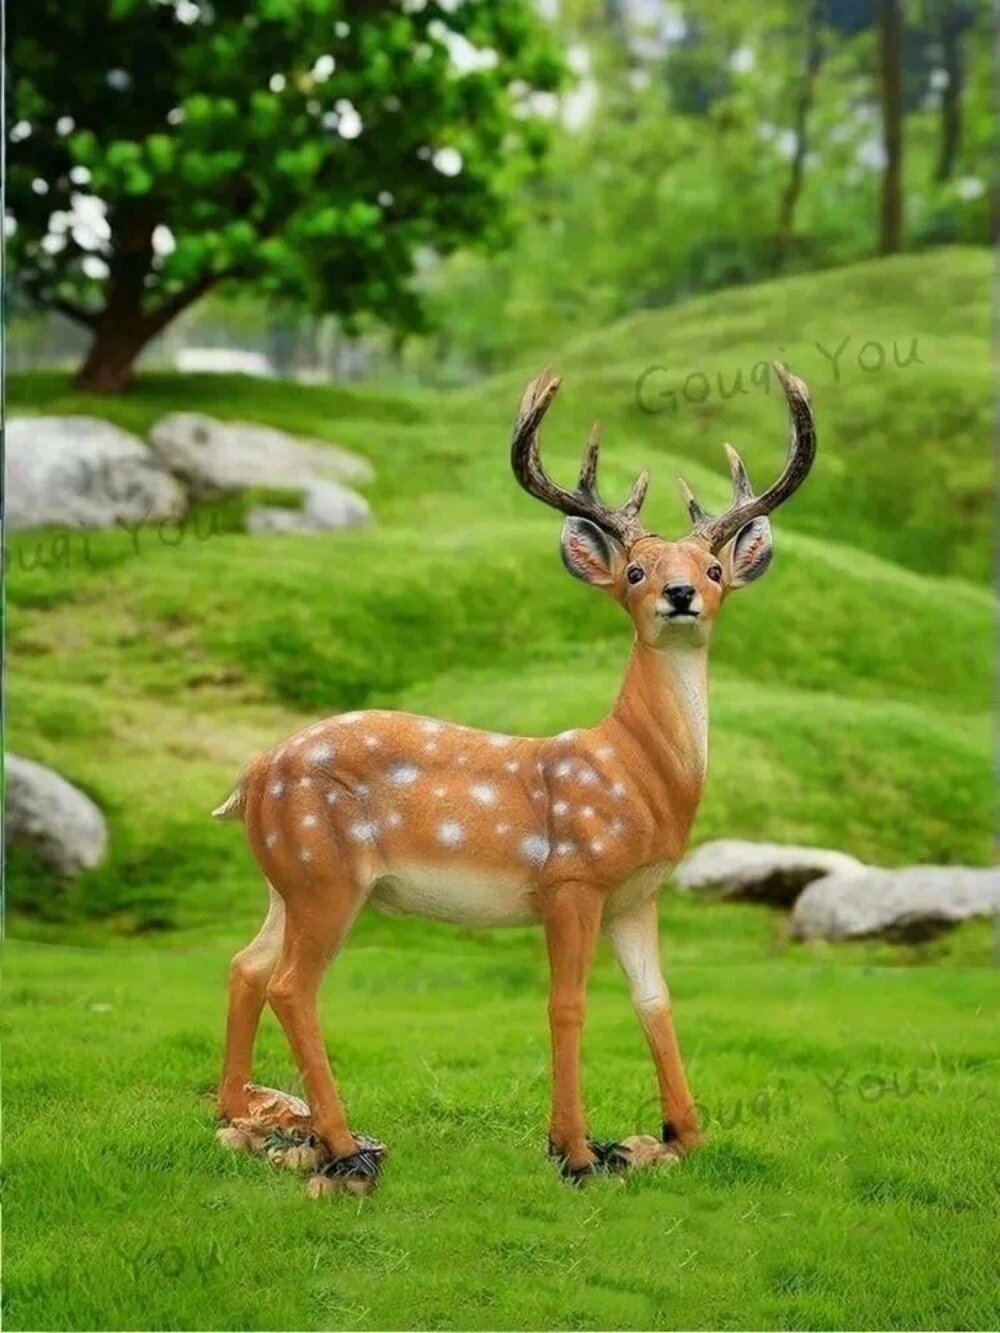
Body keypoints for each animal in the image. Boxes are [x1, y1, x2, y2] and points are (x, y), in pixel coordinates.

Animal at [212, 362, 816, 1195]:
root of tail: (251, 774)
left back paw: (245, 1114)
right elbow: (567, 1004)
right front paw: (575, 1150)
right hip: (326, 874)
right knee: (291, 985)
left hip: (288, 876)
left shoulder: (638, 893)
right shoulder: (571, 878)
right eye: (635, 570)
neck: (637, 773)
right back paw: (343, 1146)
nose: (681, 595)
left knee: (245, 965)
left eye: (715, 567)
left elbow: (656, 1001)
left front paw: (682, 1135)